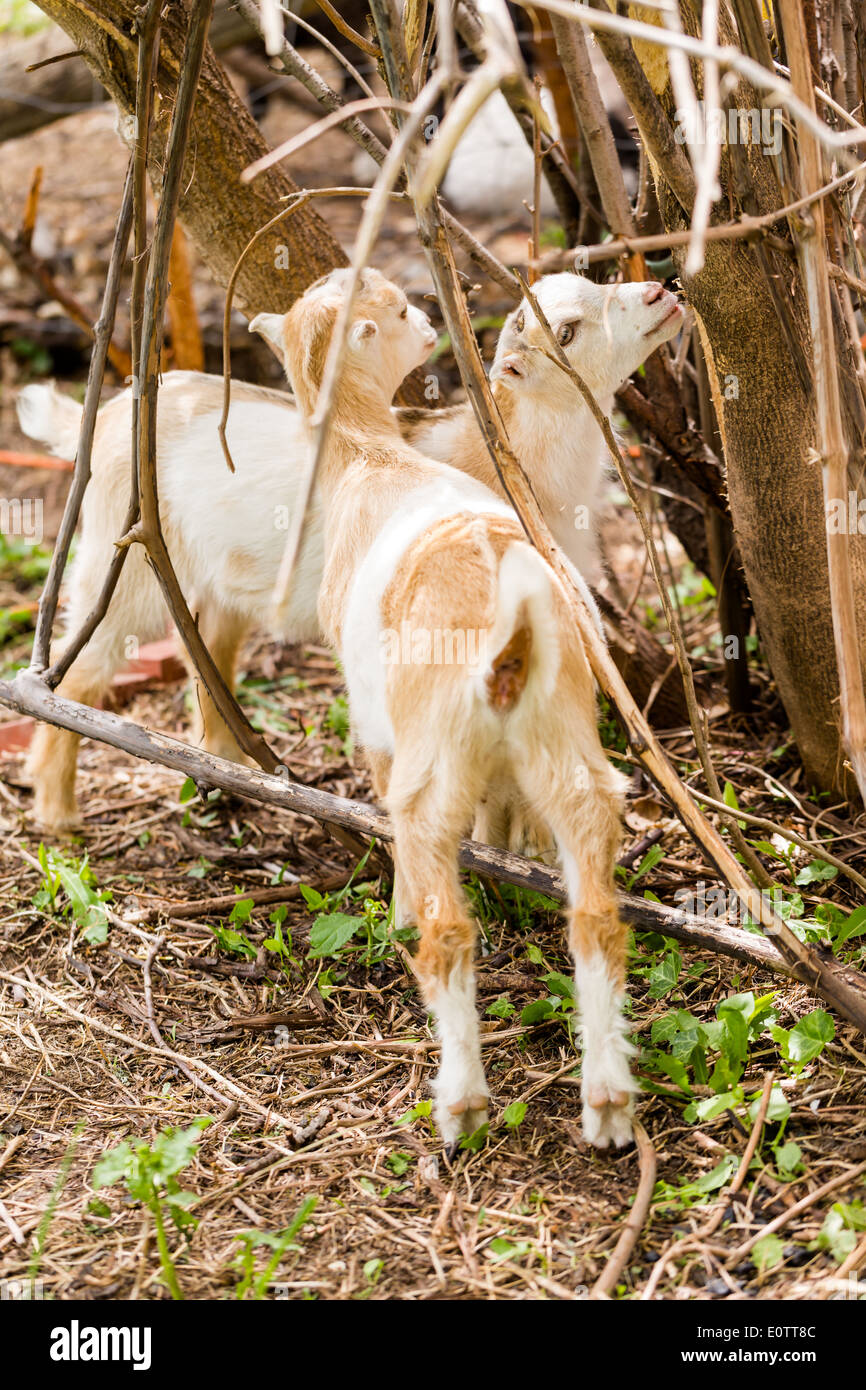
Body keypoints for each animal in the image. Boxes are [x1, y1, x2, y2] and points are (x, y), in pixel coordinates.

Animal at [18, 272, 680, 833]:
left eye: (594, 280)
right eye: (566, 332)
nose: (659, 293)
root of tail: (104, 415)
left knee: (207, 653)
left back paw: (232, 774)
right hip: (122, 561)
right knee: (84, 670)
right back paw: (56, 813)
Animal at [272, 265, 638, 1149]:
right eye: (403, 311)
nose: (436, 320)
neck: (371, 457)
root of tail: (508, 638)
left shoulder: (375, 720)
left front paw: (400, 911)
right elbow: (504, 819)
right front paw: (509, 854)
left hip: (432, 771)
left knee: (447, 928)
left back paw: (462, 1104)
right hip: (567, 749)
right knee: (596, 916)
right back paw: (607, 1103)